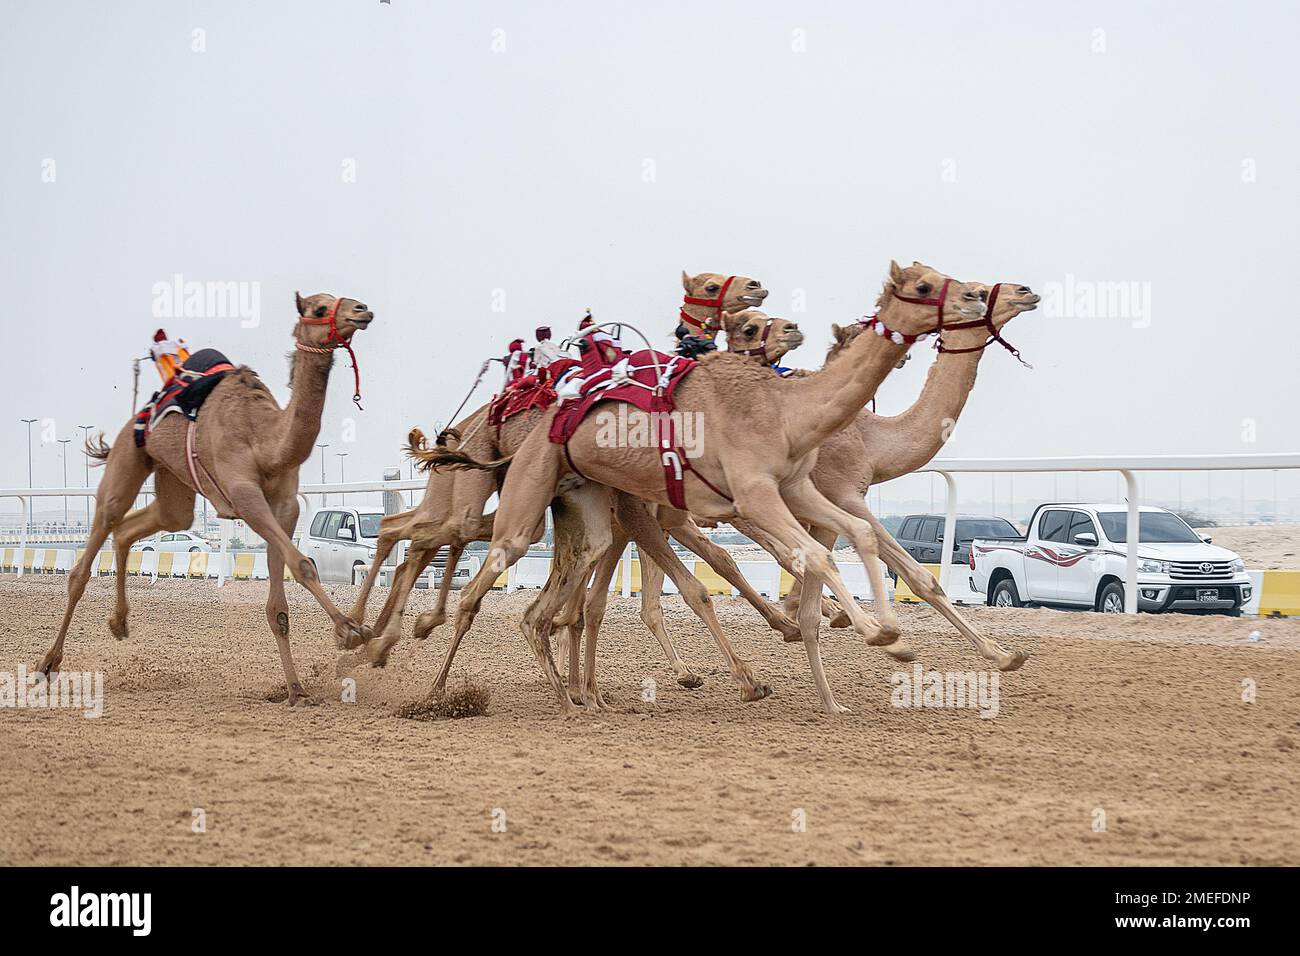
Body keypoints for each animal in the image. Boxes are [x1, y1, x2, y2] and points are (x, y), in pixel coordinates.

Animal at [35, 293, 376, 705]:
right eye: (319, 309)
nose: (361, 310)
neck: (265, 440)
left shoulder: (285, 506)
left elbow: (278, 607)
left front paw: (296, 690)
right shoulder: (244, 493)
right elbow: (304, 565)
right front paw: (350, 630)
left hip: (173, 483)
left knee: (141, 527)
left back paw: (119, 623)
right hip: (128, 457)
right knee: (96, 541)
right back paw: (48, 663)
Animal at [424, 262, 986, 713]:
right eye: (923, 284)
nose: (978, 296)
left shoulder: (790, 493)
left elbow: (832, 547)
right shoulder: (741, 498)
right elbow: (738, 568)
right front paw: (839, 633)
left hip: (586, 516)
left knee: (566, 598)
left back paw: (579, 692)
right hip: (530, 502)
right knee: (474, 562)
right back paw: (437, 681)